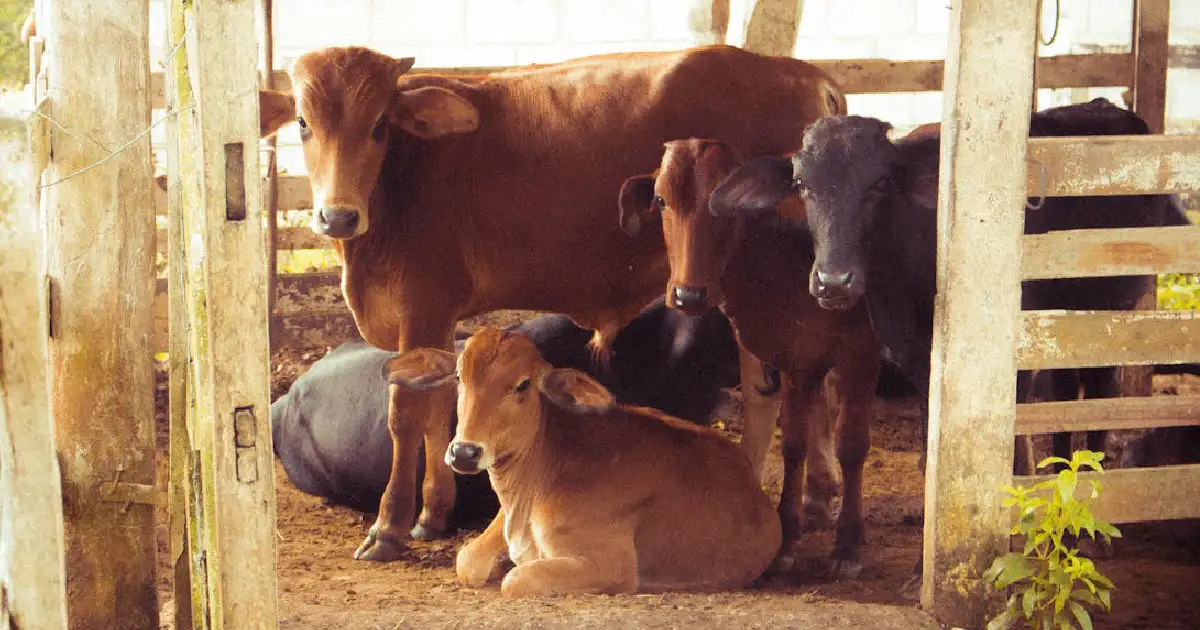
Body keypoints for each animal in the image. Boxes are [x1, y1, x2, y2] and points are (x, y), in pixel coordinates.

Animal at [384, 327, 782, 596]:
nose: (465, 452)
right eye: (458, 377)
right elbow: (466, 561)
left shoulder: (611, 565)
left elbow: (517, 579)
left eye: (523, 385)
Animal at [618, 139, 882, 580]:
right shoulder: (796, 359)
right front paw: (786, 540)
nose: (689, 295)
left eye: (725, 203)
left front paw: (846, 546)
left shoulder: (860, 354)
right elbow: (794, 444)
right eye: (659, 199)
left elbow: (851, 445)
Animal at [706, 97, 1191, 593]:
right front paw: (921, 568)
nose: (833, 280)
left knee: (1097, 394)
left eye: (881, 182)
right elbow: (930, 462)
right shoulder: (916, 361)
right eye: (803, 184)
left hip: (1106, 311)